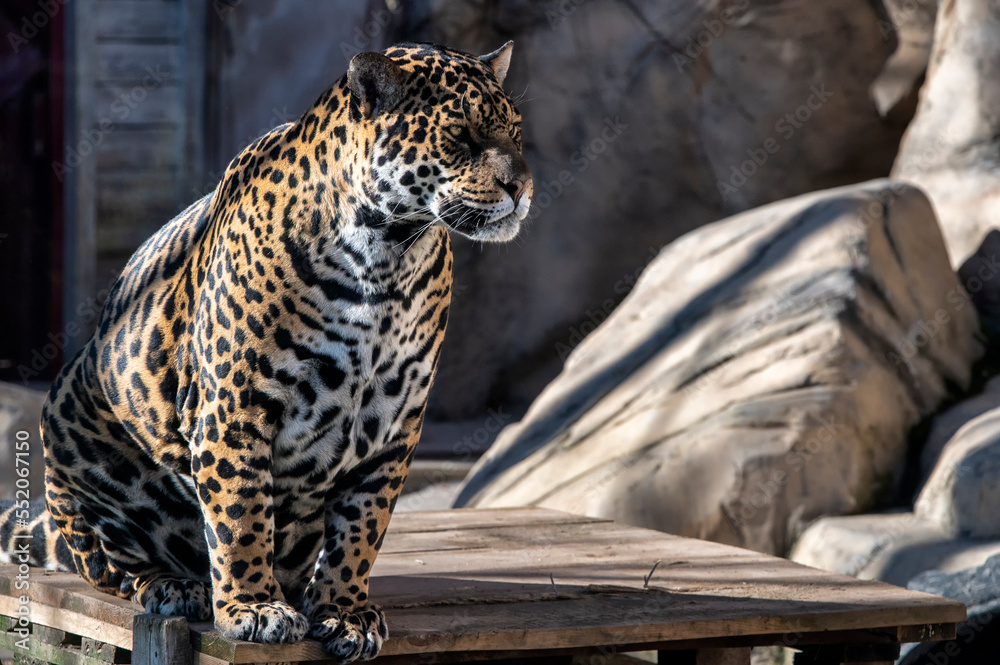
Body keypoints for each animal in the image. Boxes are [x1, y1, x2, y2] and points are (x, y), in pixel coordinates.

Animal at [0, 41, 531, 662]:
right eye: (461, 137)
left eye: (516, 134)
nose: (522, 188)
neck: (387, 256)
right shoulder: (235, 408)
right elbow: (242, 514)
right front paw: (253, 609)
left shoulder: (394, 422)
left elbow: (362, 526)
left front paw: (344, 612)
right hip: (66, 418)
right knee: (112, 561)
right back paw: (177, 586)